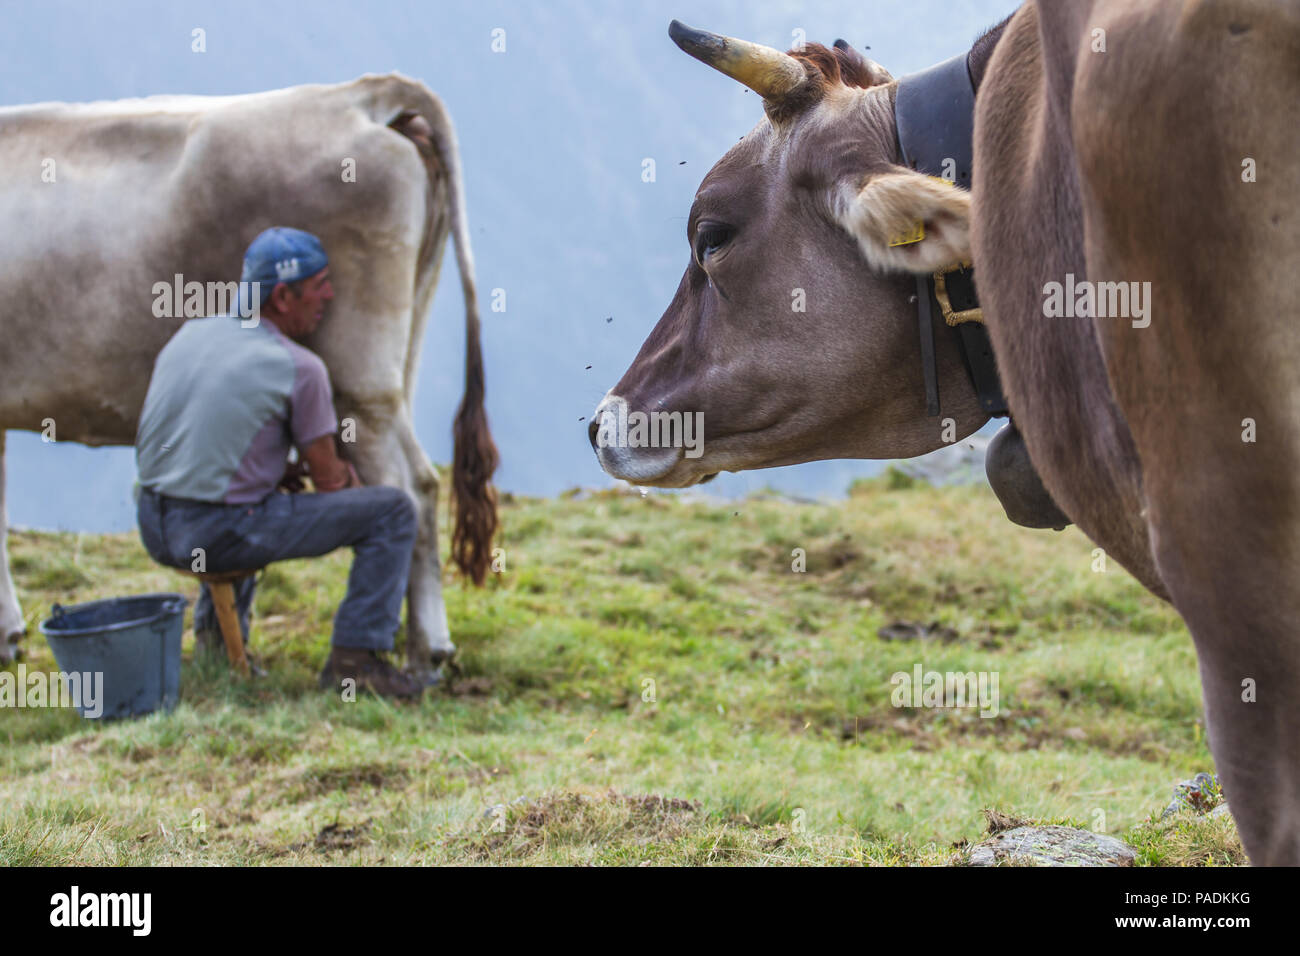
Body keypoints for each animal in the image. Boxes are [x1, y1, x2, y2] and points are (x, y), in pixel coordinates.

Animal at [0, 73, 499, 683]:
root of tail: (359, 95)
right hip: (393, 372)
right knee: (425, 482)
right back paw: (427, 645)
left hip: (356, 382)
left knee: (403, 488)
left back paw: (416, 653)